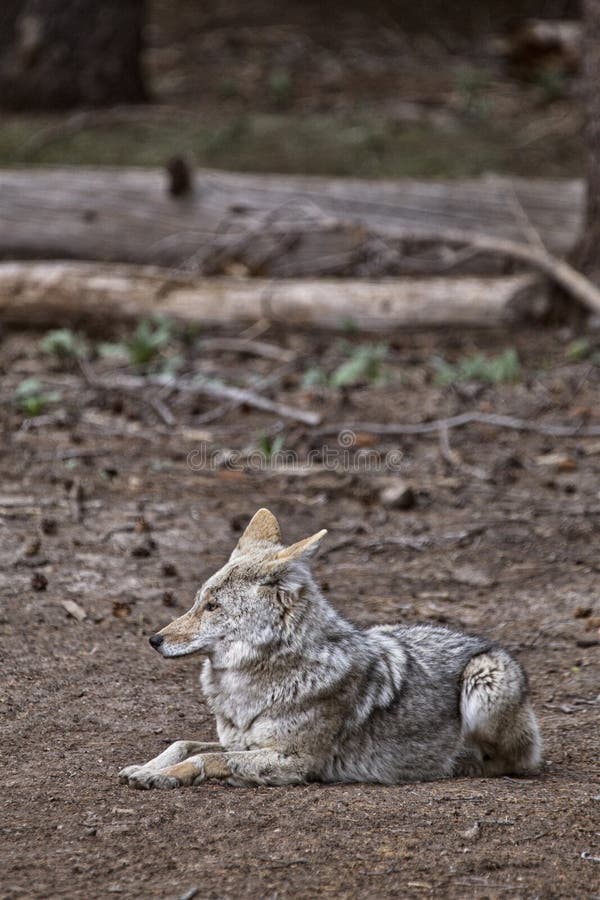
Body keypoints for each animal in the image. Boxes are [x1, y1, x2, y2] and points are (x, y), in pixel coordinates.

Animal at [119, 508, 541, 789]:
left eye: (212, 606)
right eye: (197, 601)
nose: (154, 639)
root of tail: (485, 642)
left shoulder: (294, 761)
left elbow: (204, 757)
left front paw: (164, 777)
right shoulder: (239, 742)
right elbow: (184, 743)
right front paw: (147, 768)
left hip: (483, 679)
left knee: (512, 763)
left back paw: (454, 763)